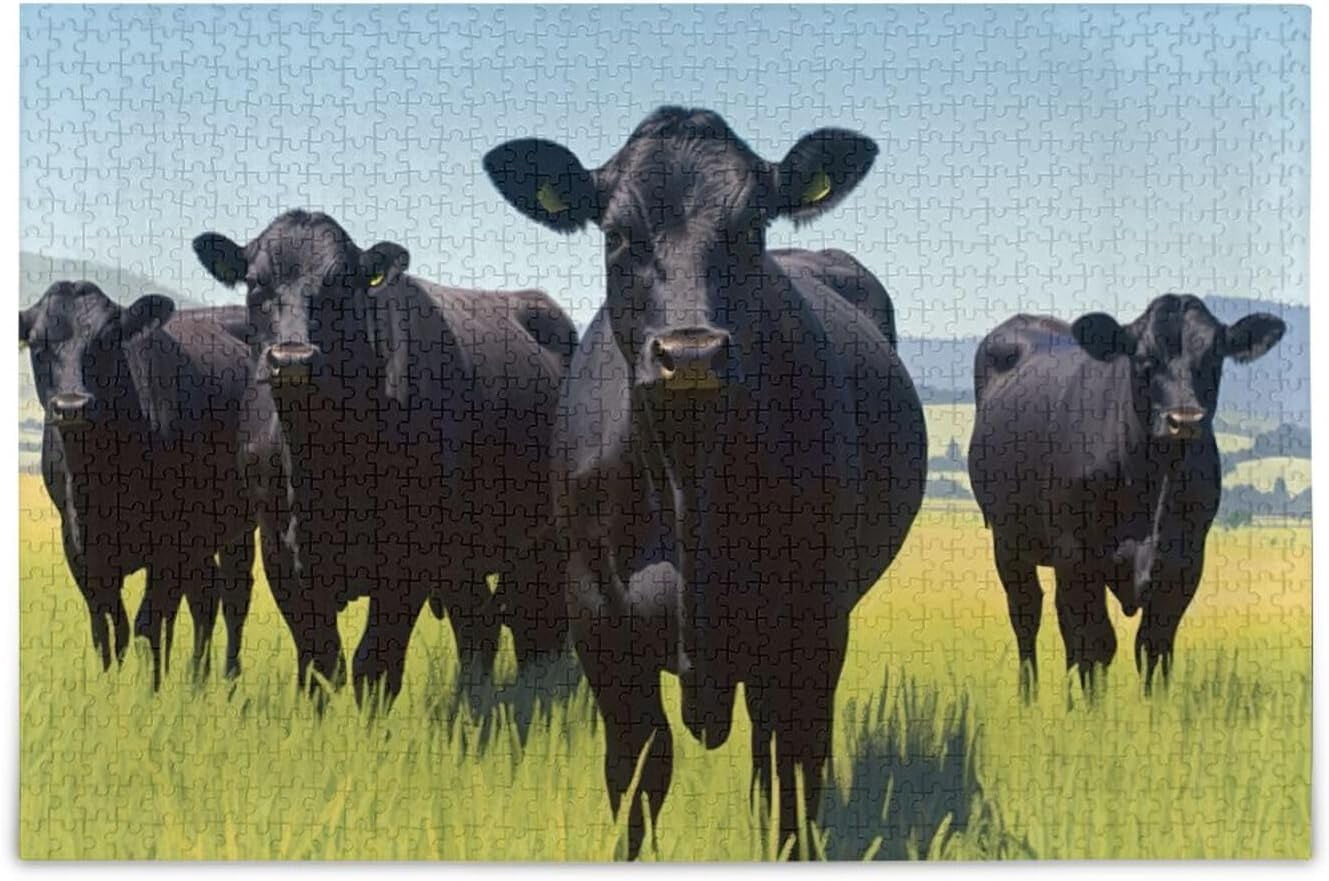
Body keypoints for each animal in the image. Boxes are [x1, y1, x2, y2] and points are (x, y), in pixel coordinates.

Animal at [19, 282, 259, 686]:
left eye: (107, 341)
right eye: (38, 345)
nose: (71, 406)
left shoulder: (169, 543)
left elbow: (148, 624)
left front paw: (149, 691)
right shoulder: (78, 546)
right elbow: (108, 626)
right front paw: (109, 687)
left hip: (239, 525)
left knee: (234, 598)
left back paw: (229, 681)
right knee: (205, 598)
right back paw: (197, 682)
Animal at [191, 210, 576, 705]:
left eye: (342, 282)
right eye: (256, 283)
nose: (292, 358)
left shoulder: (409, 556)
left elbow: (374, 665)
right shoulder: (279, 550)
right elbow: (320, 662)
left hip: (545, 542)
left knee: (538, 628)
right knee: (482, 627)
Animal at [484, 106, 927, 857]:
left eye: (751, 227)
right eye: (617, 234)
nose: (690, 353)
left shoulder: (814, 623)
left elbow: (796, 775)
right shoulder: (598, 618)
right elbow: (639, 769)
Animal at [967, 294, 1286, 698]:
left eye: (1213, 357)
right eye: (1145, 360)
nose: (1185, 420)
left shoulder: (1184, 562)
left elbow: (1153, 646)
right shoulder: (1076, 556)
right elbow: (1095, 644)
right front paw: (1092, 710)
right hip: (1008, 539)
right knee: (1028, 612)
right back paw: (1029, 695)